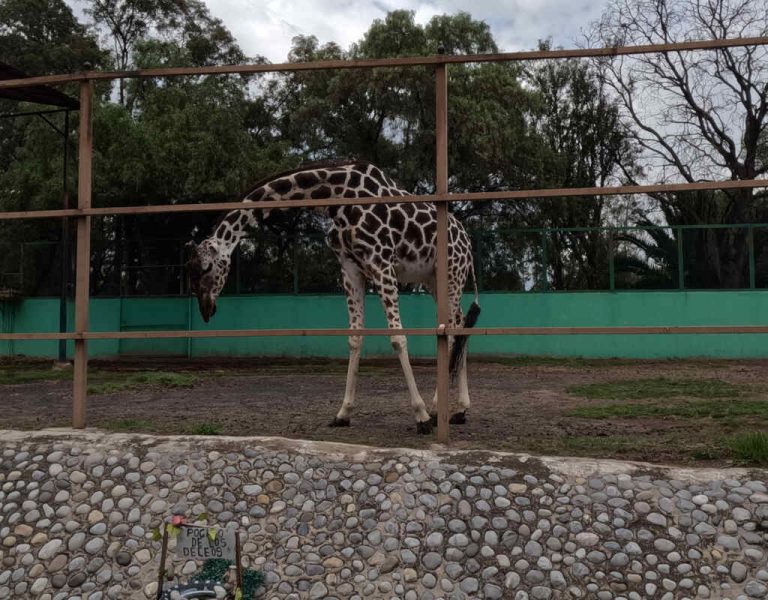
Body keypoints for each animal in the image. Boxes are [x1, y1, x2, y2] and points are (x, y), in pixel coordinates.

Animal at [185, 160, 480, 434]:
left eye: (207, 268)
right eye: (191, 272)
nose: (206, 309)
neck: (339, 197)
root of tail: (467, 241)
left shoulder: (381, 263)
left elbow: (397, 338)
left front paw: (421, 416)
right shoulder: (350, 268)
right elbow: (354, 338)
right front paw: (343, 413)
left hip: (451, 274)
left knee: (452, 331)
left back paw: (437, 406)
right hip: (433, 281)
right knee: (459, 325)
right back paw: (460, 409)